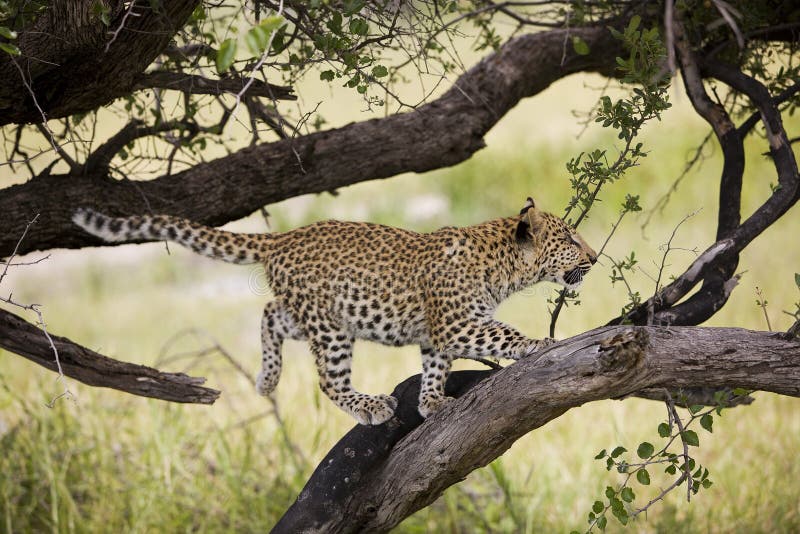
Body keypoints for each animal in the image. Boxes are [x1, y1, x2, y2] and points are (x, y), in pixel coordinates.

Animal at [72, 197, 597, 425]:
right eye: (570, 240)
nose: (594, 257)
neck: (504, 265)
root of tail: (283, 236)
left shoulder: (436, 333)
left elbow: (435, 366)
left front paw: (431, 402)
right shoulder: (456, 322)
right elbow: (501, 334)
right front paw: (537, 343)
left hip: (318, 314)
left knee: (270, 312)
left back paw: (266, 379)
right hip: (331, 329)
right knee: (327, 380)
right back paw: (368, 404)